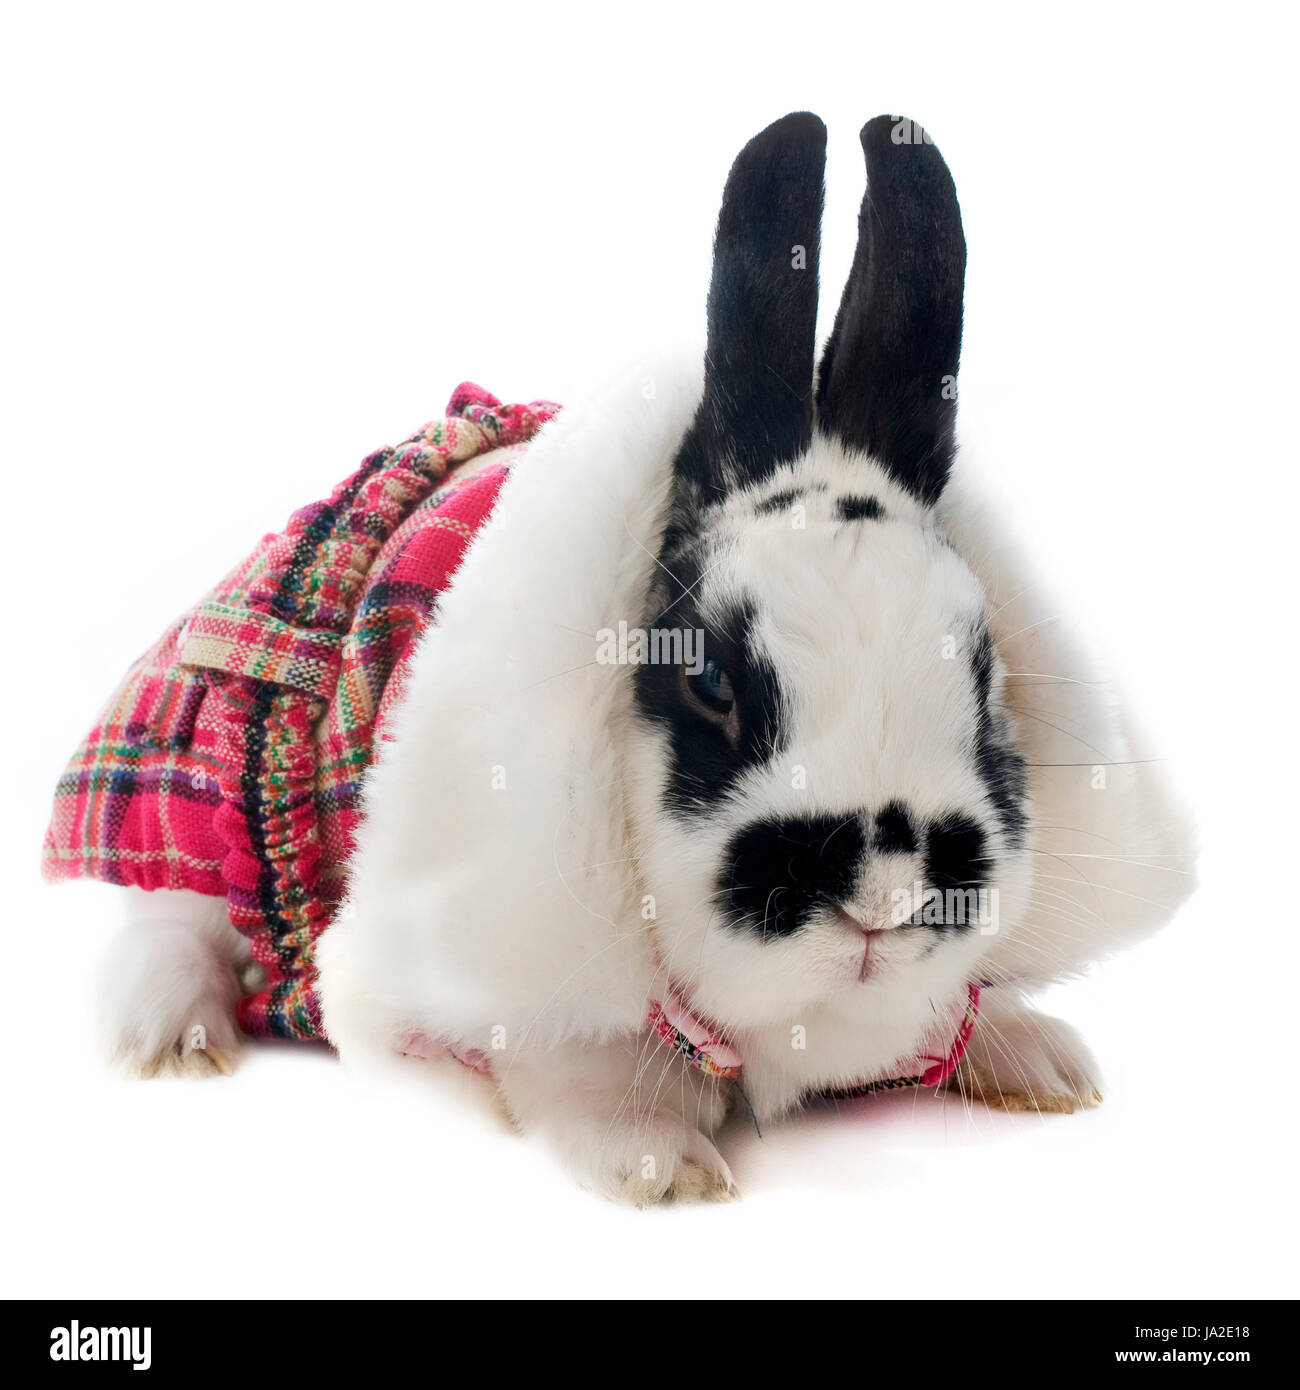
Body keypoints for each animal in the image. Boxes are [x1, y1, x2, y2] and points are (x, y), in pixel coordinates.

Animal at [86, 112, 1195, 1202]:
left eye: (984, 678)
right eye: (708, 682)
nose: (881, 902)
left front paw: (1044, 1063)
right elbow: (574, 1062)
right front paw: (661, 1164)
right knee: (171, 919)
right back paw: (170, 1039)